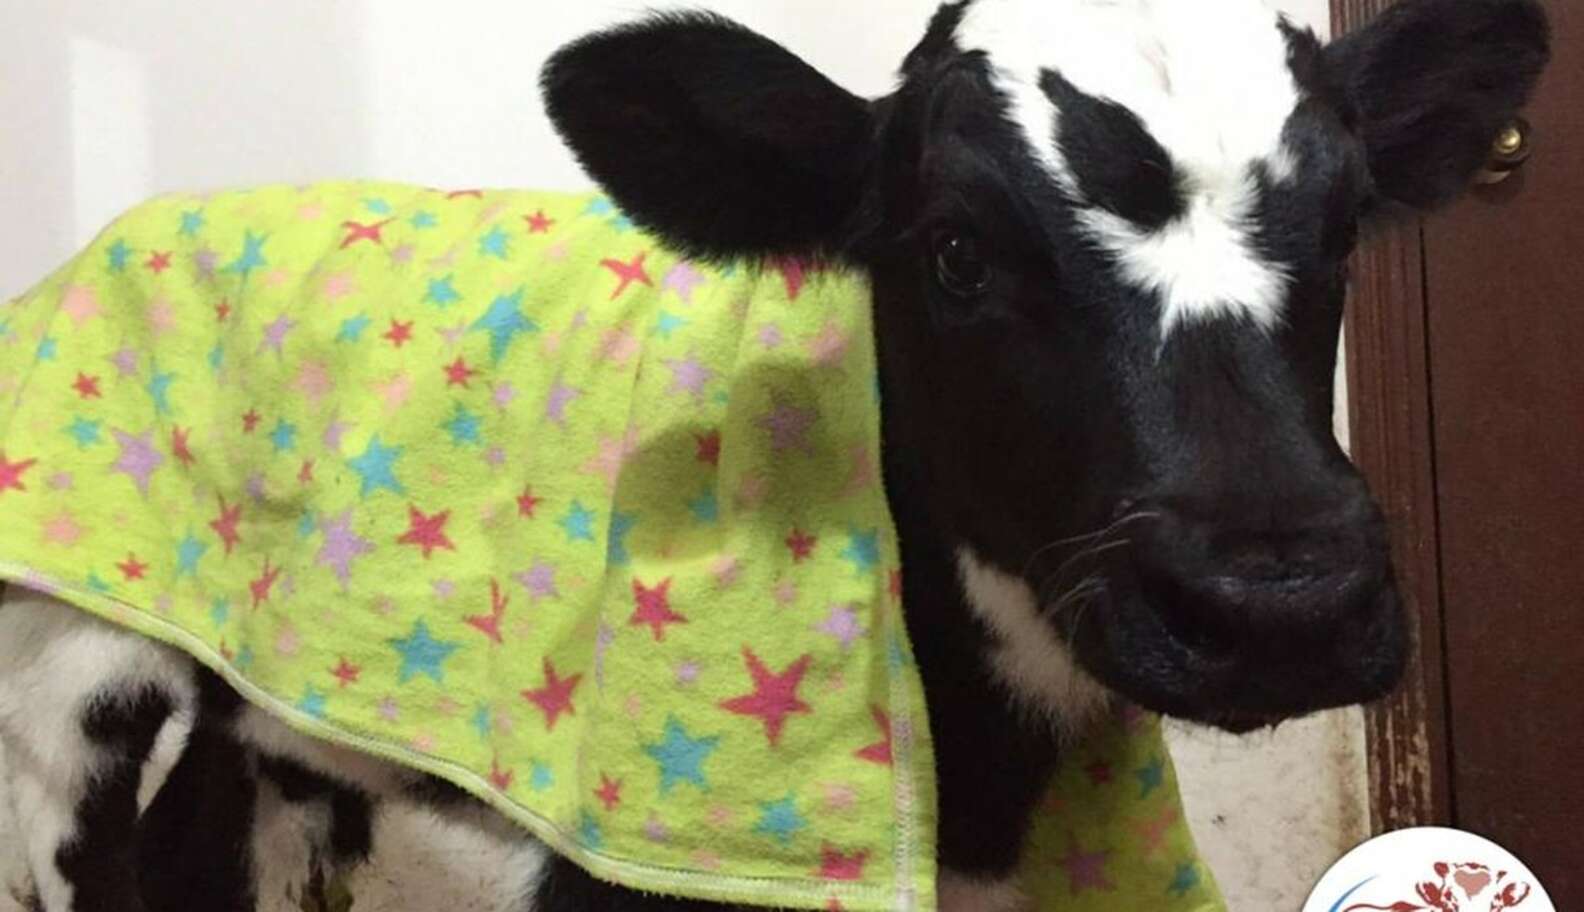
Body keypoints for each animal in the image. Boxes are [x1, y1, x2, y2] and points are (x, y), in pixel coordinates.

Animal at [0, 0, 1550, 909]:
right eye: (954, 249)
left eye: (1346, 225)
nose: (1277, 603)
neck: (978, 785)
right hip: (67, 672)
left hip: (268, 717)